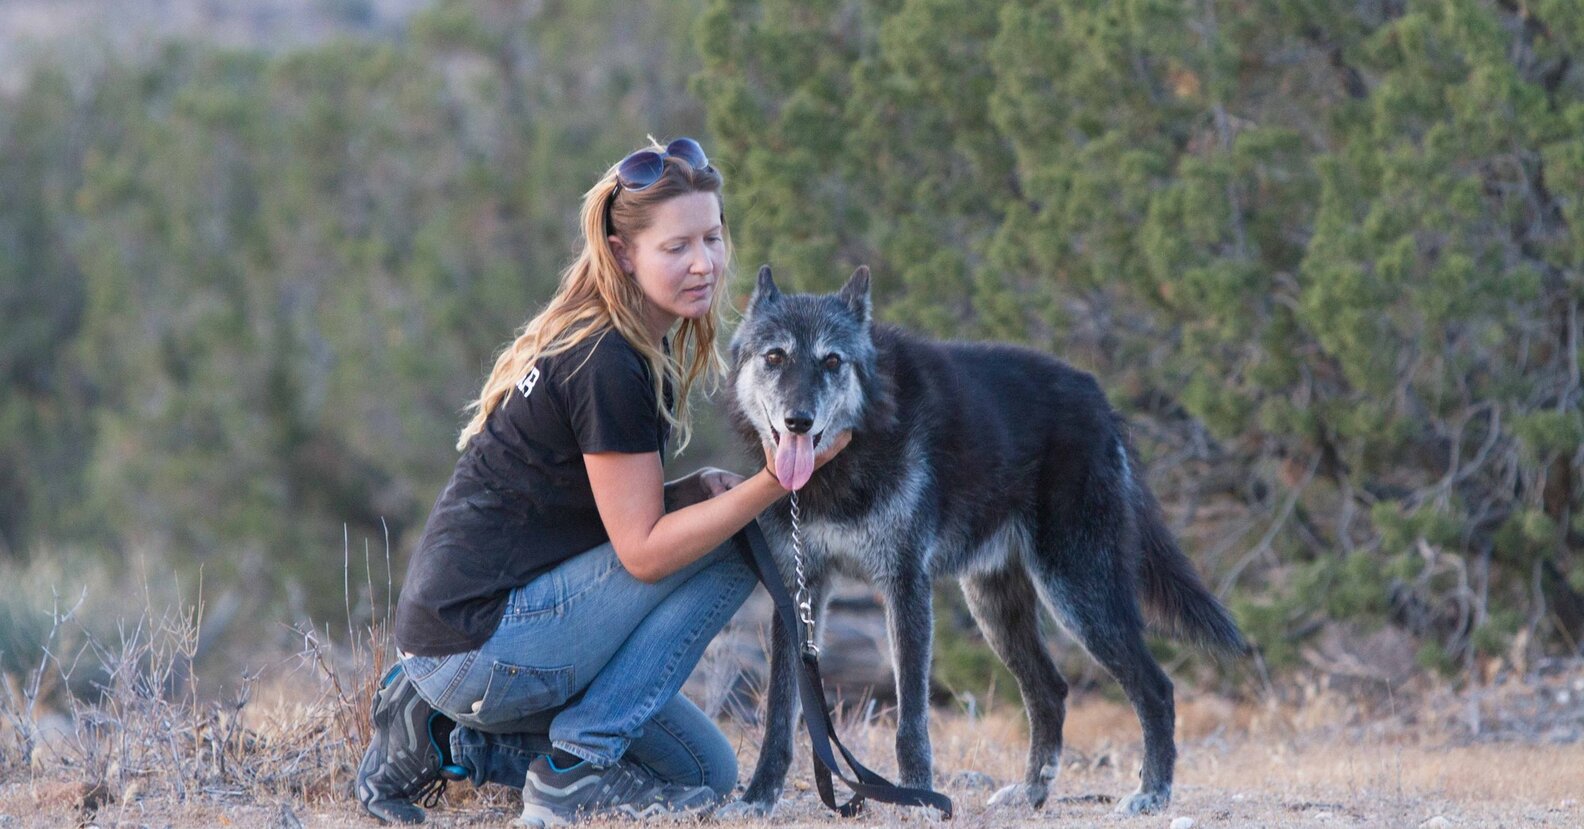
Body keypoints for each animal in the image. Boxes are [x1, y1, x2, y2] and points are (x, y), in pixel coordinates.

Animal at [722, 265, 1246, 816]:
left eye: (831, 361)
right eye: (775, 357)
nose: (798, 421)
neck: (841, 470)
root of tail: (1101, 401)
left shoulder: (905, 586)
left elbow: (911, 718)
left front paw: (917, 797)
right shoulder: (798, 590)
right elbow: (780, 714)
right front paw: (758, 797)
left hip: (1078, 596)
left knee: (1156, 688)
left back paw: (1151, 793)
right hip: (996, 606)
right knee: (1051, 691)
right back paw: (1032, 791)